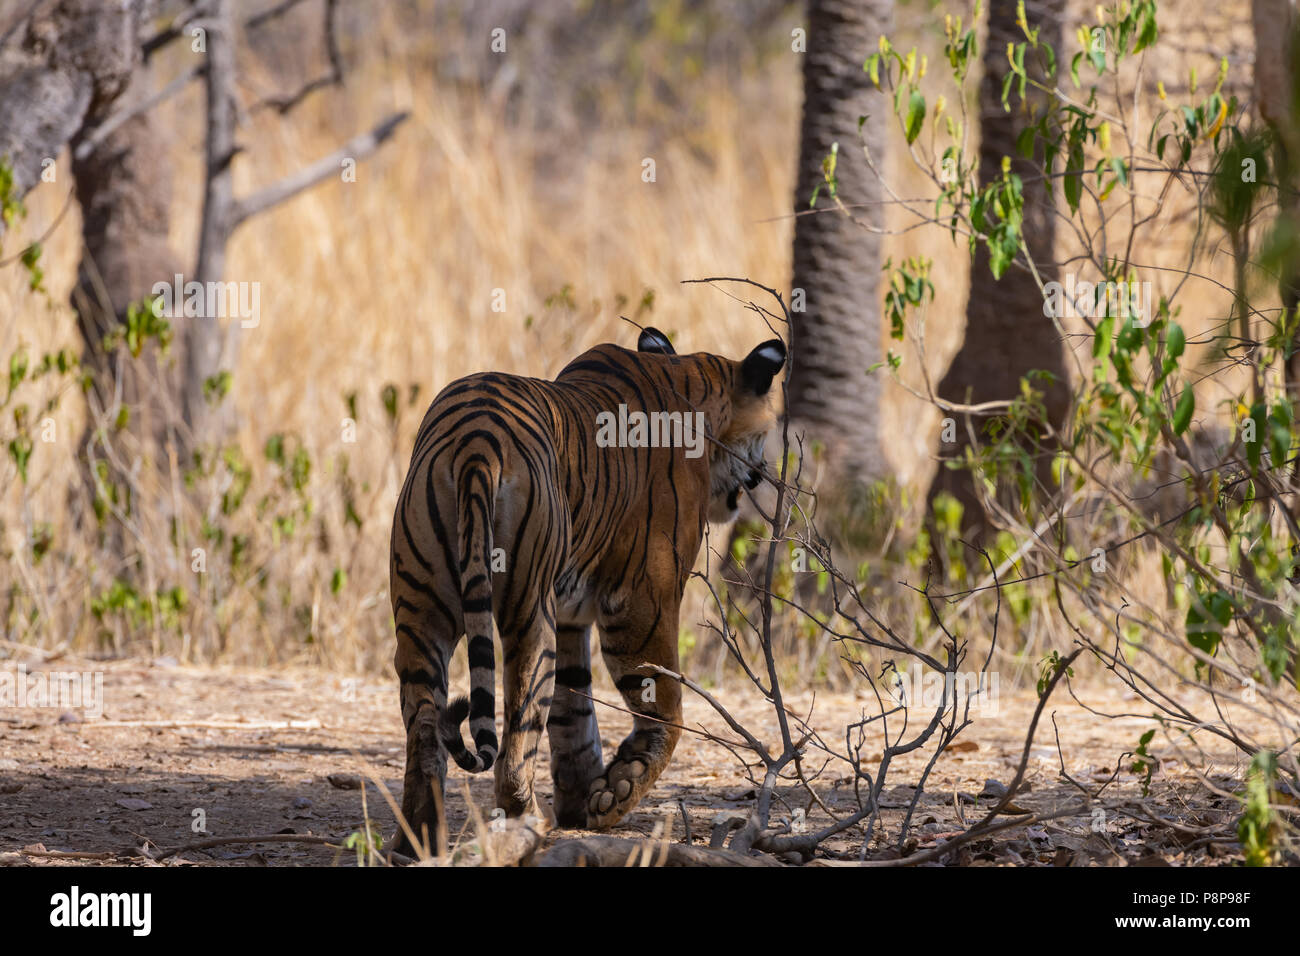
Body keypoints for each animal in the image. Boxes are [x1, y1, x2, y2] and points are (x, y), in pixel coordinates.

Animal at [388, 326, 786, 857]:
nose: (764, 472)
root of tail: (476, 442)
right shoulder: (645, 598)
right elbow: (665, 702)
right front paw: (616, 791)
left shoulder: (573, 609)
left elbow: (573, 707)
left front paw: (583, 796)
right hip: (528, 616)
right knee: (516, 733)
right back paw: (525, 820)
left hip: (421, 610)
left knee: (426, 731)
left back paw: (416, 839)